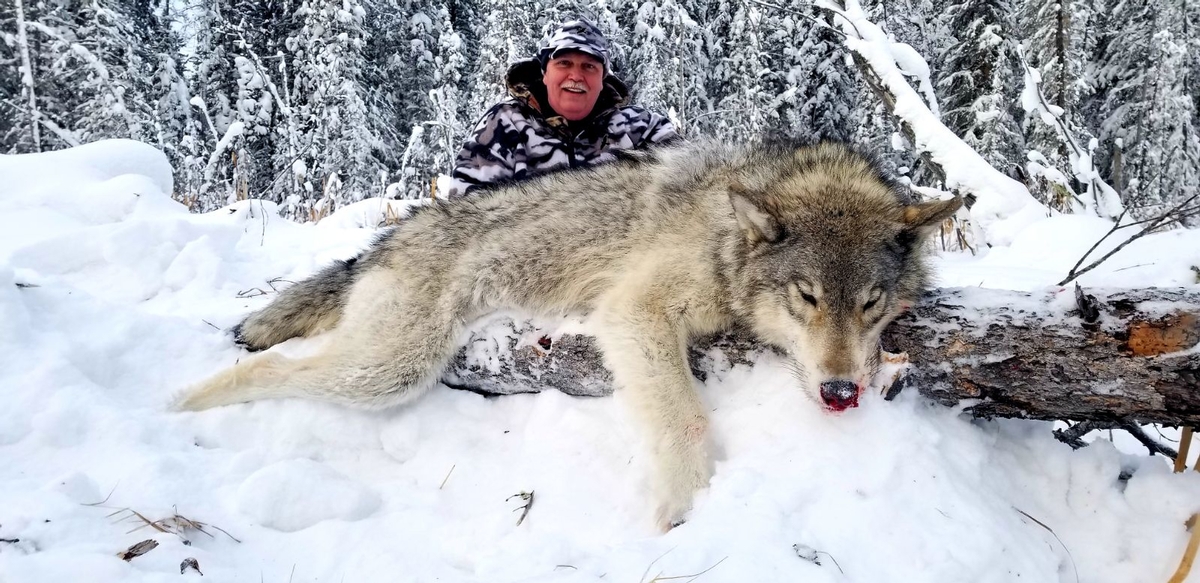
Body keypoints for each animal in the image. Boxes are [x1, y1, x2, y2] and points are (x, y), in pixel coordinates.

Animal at [176, 140, 961, 530]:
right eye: (807, 297)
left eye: (871, 304)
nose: (840, 392)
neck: (725, 241)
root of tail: (390, 238)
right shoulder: (636, 310)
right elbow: (686, 422)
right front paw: (683, 514)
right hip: (390, 369)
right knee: (266, 370)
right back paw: (176, 407)